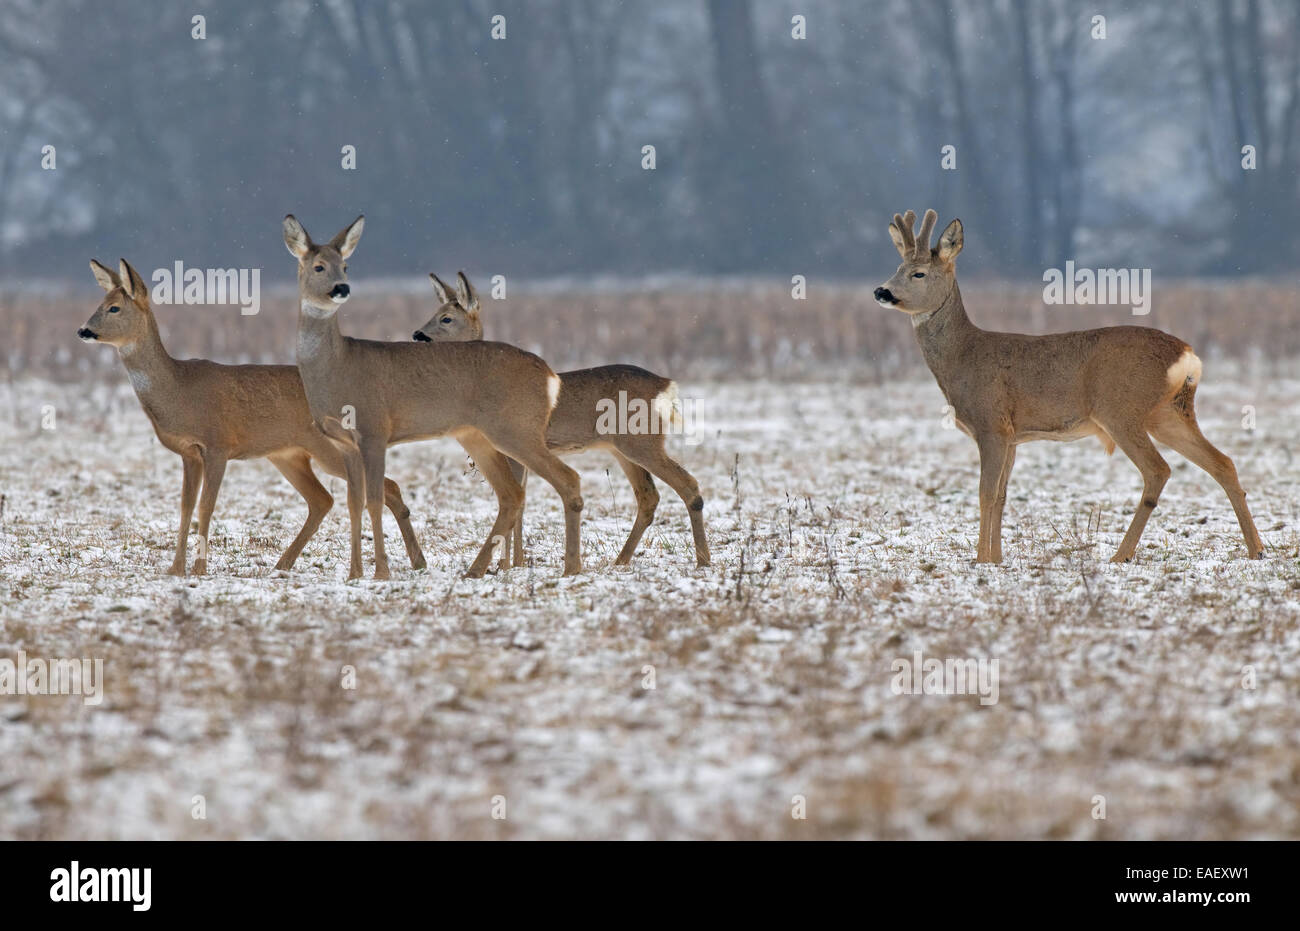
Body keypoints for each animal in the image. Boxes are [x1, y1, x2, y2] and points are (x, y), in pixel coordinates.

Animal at [77, 259, 426, 576]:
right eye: (99, 303)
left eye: (114, 308)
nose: (83, 330)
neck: (179, 391)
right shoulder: (189, 453)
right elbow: (185, 506)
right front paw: (175, 569)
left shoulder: (218, 444)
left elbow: (206, 505)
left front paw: (199, 569)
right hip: (287, 455)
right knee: (323, 499)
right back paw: (283, 564)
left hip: (330, 449)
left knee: (388, 486)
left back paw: (415, 561)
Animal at [284, 215, 584, 580]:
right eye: (318, 266)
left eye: (346, 265)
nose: (342, 288)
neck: (337, 366)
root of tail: (551, 376)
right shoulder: (344, 442)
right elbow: (354, 504)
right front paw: (355, 574)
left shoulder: (374, 429)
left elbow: (374, 500)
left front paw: (381, 573)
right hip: (477, 435)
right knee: (512, 494)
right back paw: (475, 570)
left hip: (516, 427)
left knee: (567, 479)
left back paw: (571, 567)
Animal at [413, 272, 710, 568]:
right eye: (435, 313)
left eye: (446, 318)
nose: (417, 335)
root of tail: (666, 385)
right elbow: (522, 502)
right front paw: (515, 563)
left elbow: (517, 502)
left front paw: (507, 566)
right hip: (621, 447)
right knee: (648, 496)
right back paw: (620, 560)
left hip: (642, 441)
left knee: (687, 485)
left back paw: (702, 561)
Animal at [874, 209, 1265, 565]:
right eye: (897, 267)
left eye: (918, 272)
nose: (881, 291)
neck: (962, 356)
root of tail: (1187, 355)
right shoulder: (1013, 435)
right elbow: (1001, 495)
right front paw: (997, 559)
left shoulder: (991, 425)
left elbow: (985, 493)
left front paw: (982, 560)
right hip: (1168, 412)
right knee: (1223, 462)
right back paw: (1257, 549)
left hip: (1121, 410)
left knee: (1158, 470)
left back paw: (1121, 555)